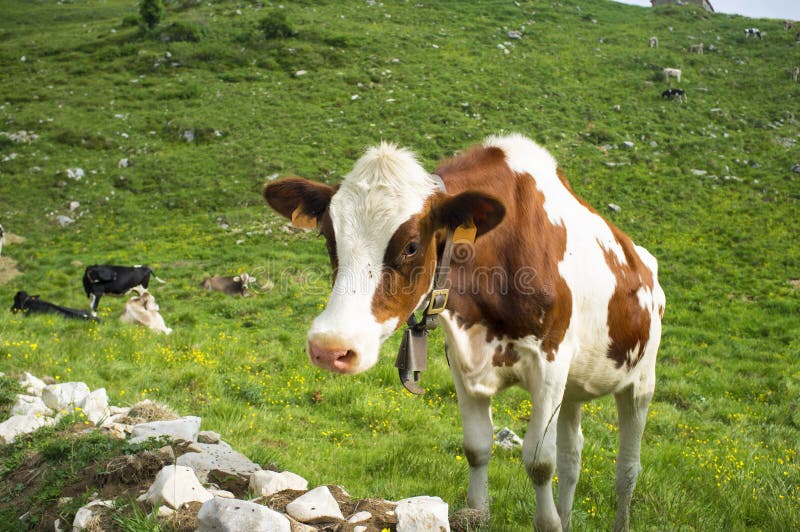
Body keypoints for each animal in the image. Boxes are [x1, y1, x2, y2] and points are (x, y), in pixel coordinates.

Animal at [263, 134, 665, 531]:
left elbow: (539, 461)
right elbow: (477, 448)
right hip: (573, 389)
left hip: (641, 381)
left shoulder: (549, 362)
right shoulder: (462, 360)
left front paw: (549, 520)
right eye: (329, 237)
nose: (330, 347)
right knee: (572, 456)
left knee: (627, 469)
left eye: (412, 245)